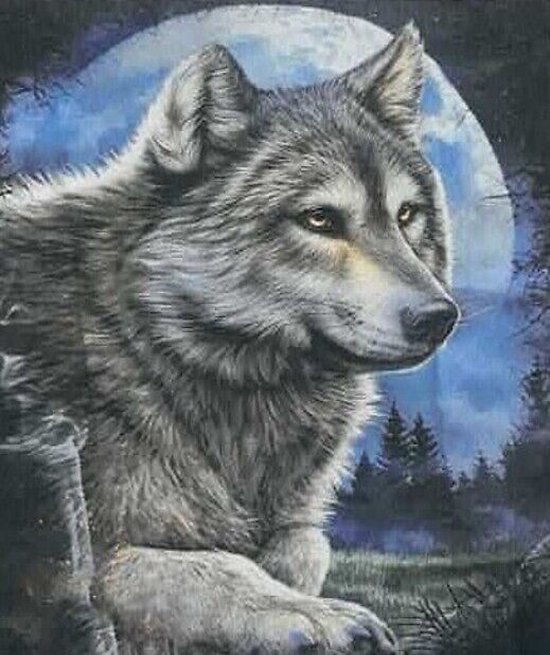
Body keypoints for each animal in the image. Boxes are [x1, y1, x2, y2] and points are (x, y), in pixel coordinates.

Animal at [0, 22, 458, 655]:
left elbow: (307, 546)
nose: (440, 317)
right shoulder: (95, 551)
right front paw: (319, 617)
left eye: (407, 214)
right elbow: (218, 564)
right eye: (320, 219)